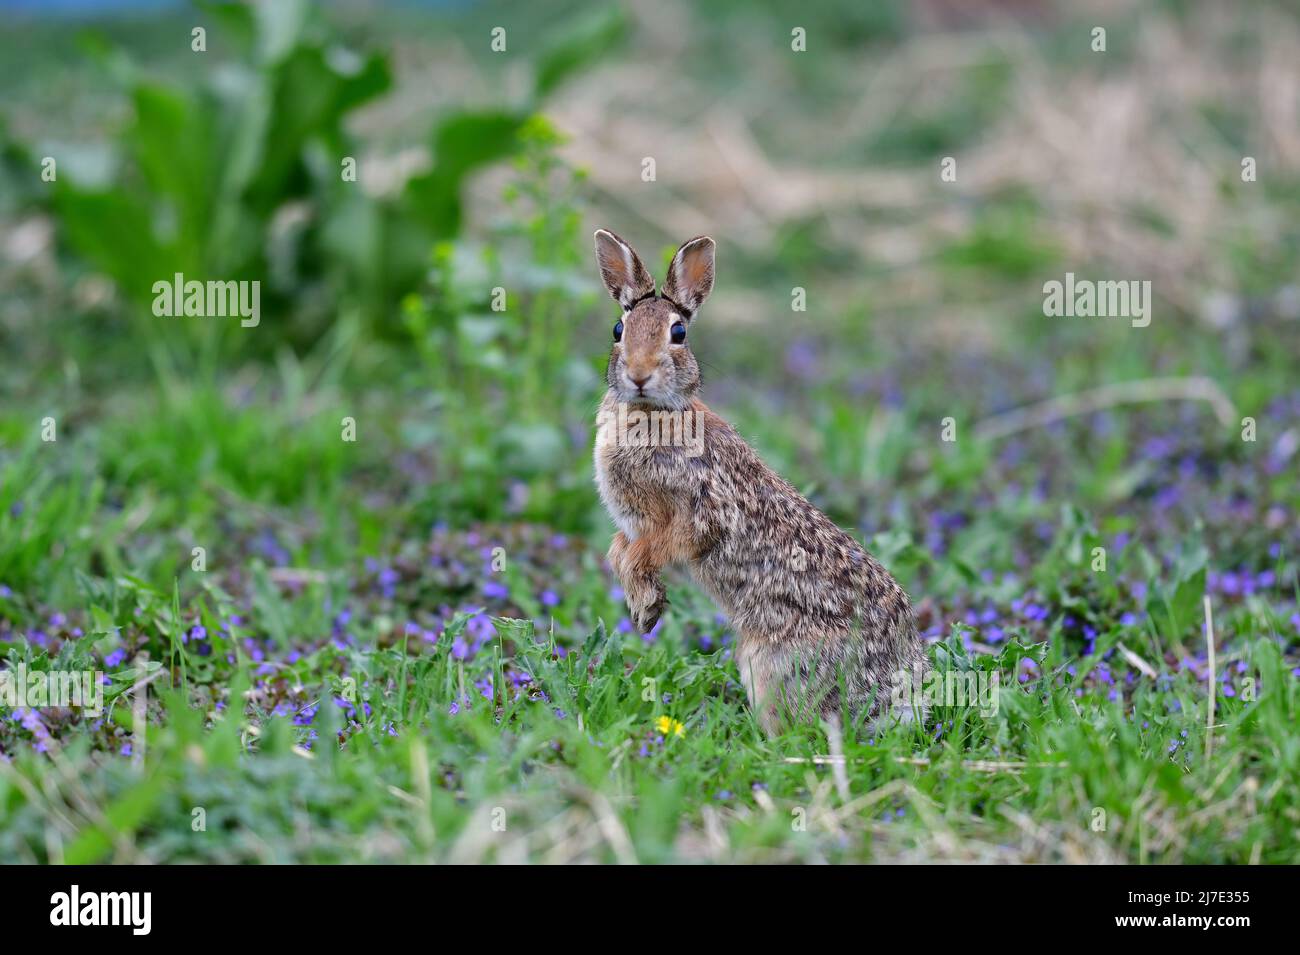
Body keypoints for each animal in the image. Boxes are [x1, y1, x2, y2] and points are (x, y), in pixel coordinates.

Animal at [592, 229, 927, 734]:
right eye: (617, 330)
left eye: (678, 333)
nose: (638, 375)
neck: (654, 414)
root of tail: (894, 700)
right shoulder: (634, 525)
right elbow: (619, 549)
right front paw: (643, 607)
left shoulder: (697, 512)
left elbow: (655, 547)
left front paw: (645, 605)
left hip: (767, 661)